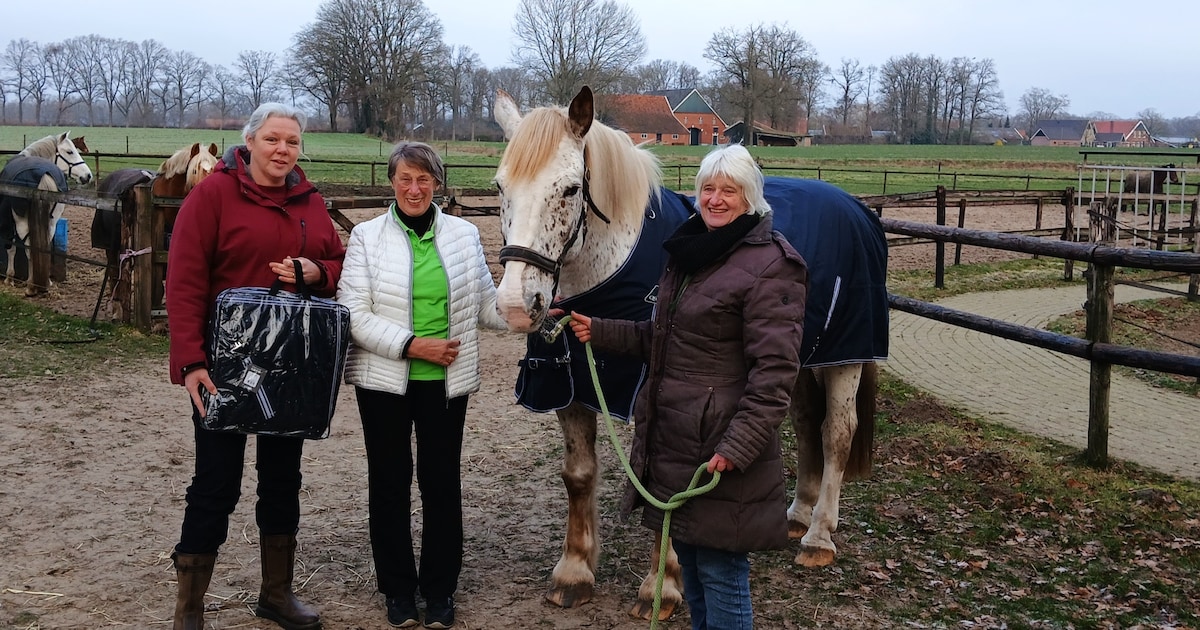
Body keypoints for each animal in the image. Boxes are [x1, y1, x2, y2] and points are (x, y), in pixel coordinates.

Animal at [0, 131, 94, 294]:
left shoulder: (9, 219)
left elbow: (11, 248)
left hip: (22, 221)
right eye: (70, 151)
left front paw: (9, 278)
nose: (88, 176)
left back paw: (32, 286)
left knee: (30, 248)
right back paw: (45, 283)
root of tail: (42, 174)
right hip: (52, 222)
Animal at [491, 86, 888, 619]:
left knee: (837, 433)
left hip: (846, 357)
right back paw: (796, 516)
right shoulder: (570, 382)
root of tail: (858, 209)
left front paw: (663, 587)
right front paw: (574, 571)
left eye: (571, 190)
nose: (518, 304)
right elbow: (577, 475)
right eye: (499, 187)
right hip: (806, 360)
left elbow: (670, 488)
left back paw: (819, 537)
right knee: (807, 423)